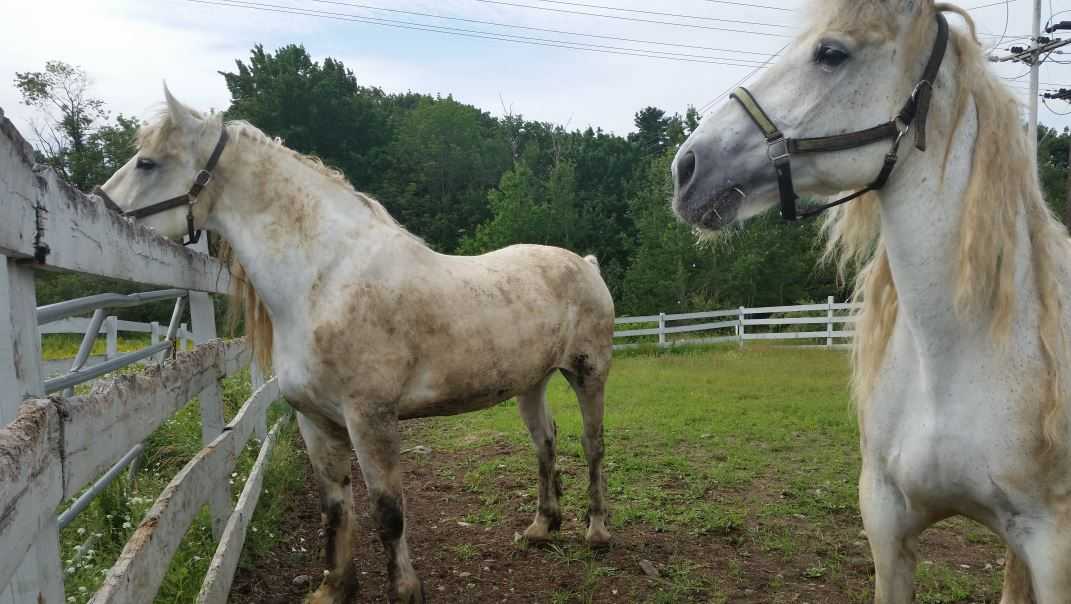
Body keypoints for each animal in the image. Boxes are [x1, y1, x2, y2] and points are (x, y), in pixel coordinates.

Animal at [97, 89, 615, 603]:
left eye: (147, 163)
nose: (101, 207)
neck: (325, 280)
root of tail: (586, 264)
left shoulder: (371, 419)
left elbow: (388, 512)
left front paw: (405, 591)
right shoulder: (315, 420)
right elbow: (335, 507)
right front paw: (335, 587)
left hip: (588, 374)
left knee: (592, 445)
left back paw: (597, 533)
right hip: (532, 382)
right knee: (545, 441)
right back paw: (542, 526)